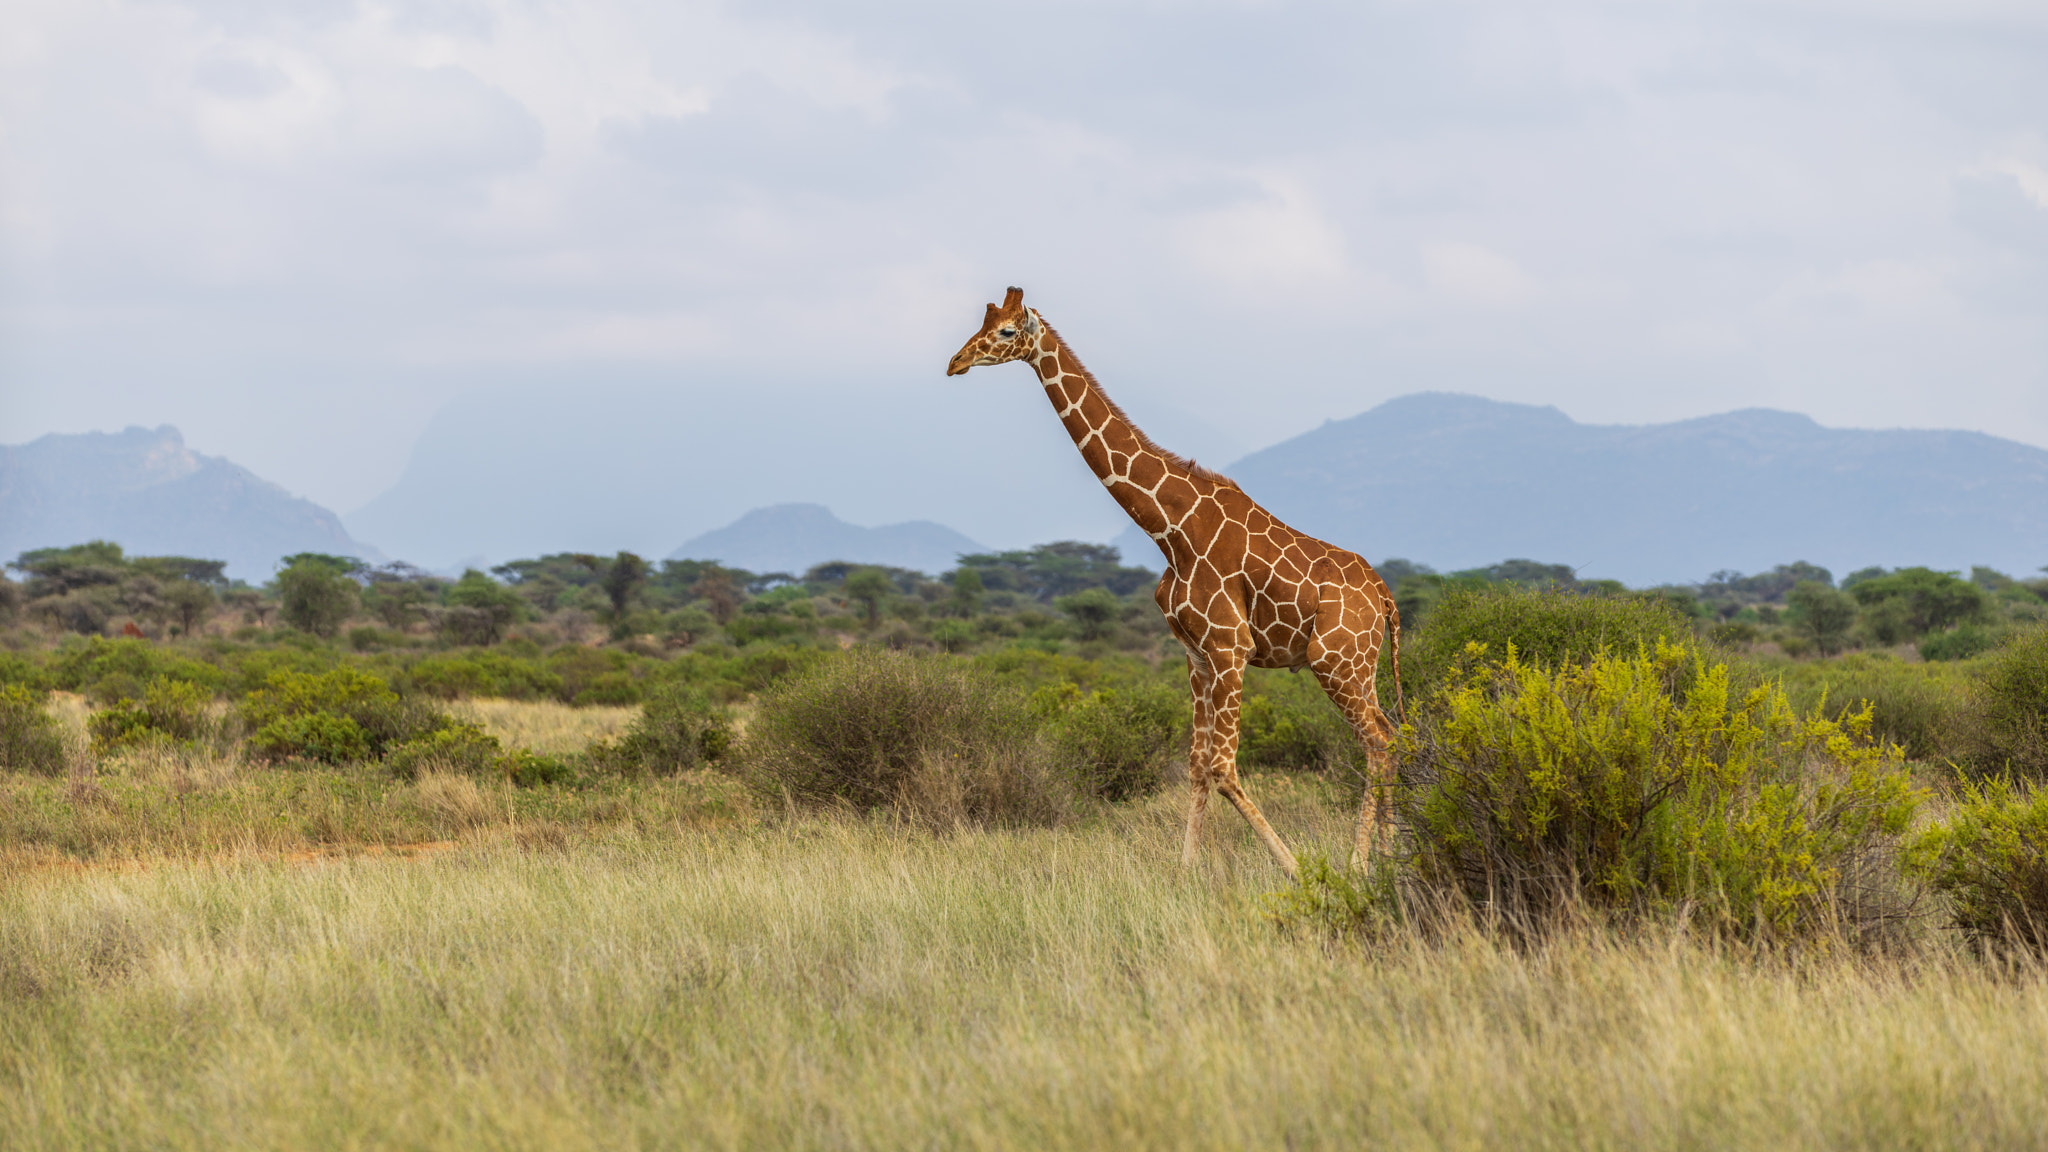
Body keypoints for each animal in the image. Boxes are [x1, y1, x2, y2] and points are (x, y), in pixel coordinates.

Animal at [947, 288, 1403, 876]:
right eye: (982, 321)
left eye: (1005, 332)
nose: (956, 362)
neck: (1170, 528)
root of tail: (1385, 597)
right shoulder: (1196, 654)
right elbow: (1196, 764)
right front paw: (1186, 869)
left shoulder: (1231, 646)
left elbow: (1224, 767)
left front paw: (1295, 868)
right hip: (1360, 665)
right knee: (1390, 736)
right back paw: (1390, 857)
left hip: (1335, 661)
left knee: (1377, 742)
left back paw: (1355, 864)